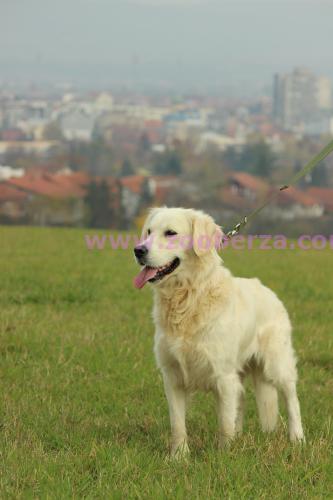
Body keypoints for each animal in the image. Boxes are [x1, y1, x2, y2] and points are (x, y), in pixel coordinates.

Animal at [133, 207, 304, 458]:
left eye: (170, 233)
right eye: (148, 231)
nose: (138, 250)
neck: (188, 298)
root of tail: (267, 290)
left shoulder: (223, 376)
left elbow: (224, 422)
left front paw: (224, 456)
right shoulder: (172, 375)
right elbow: (178, 424)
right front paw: (179, 457)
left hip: (276, 364)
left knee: (291, 398)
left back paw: (297, 438)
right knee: (241, 398)